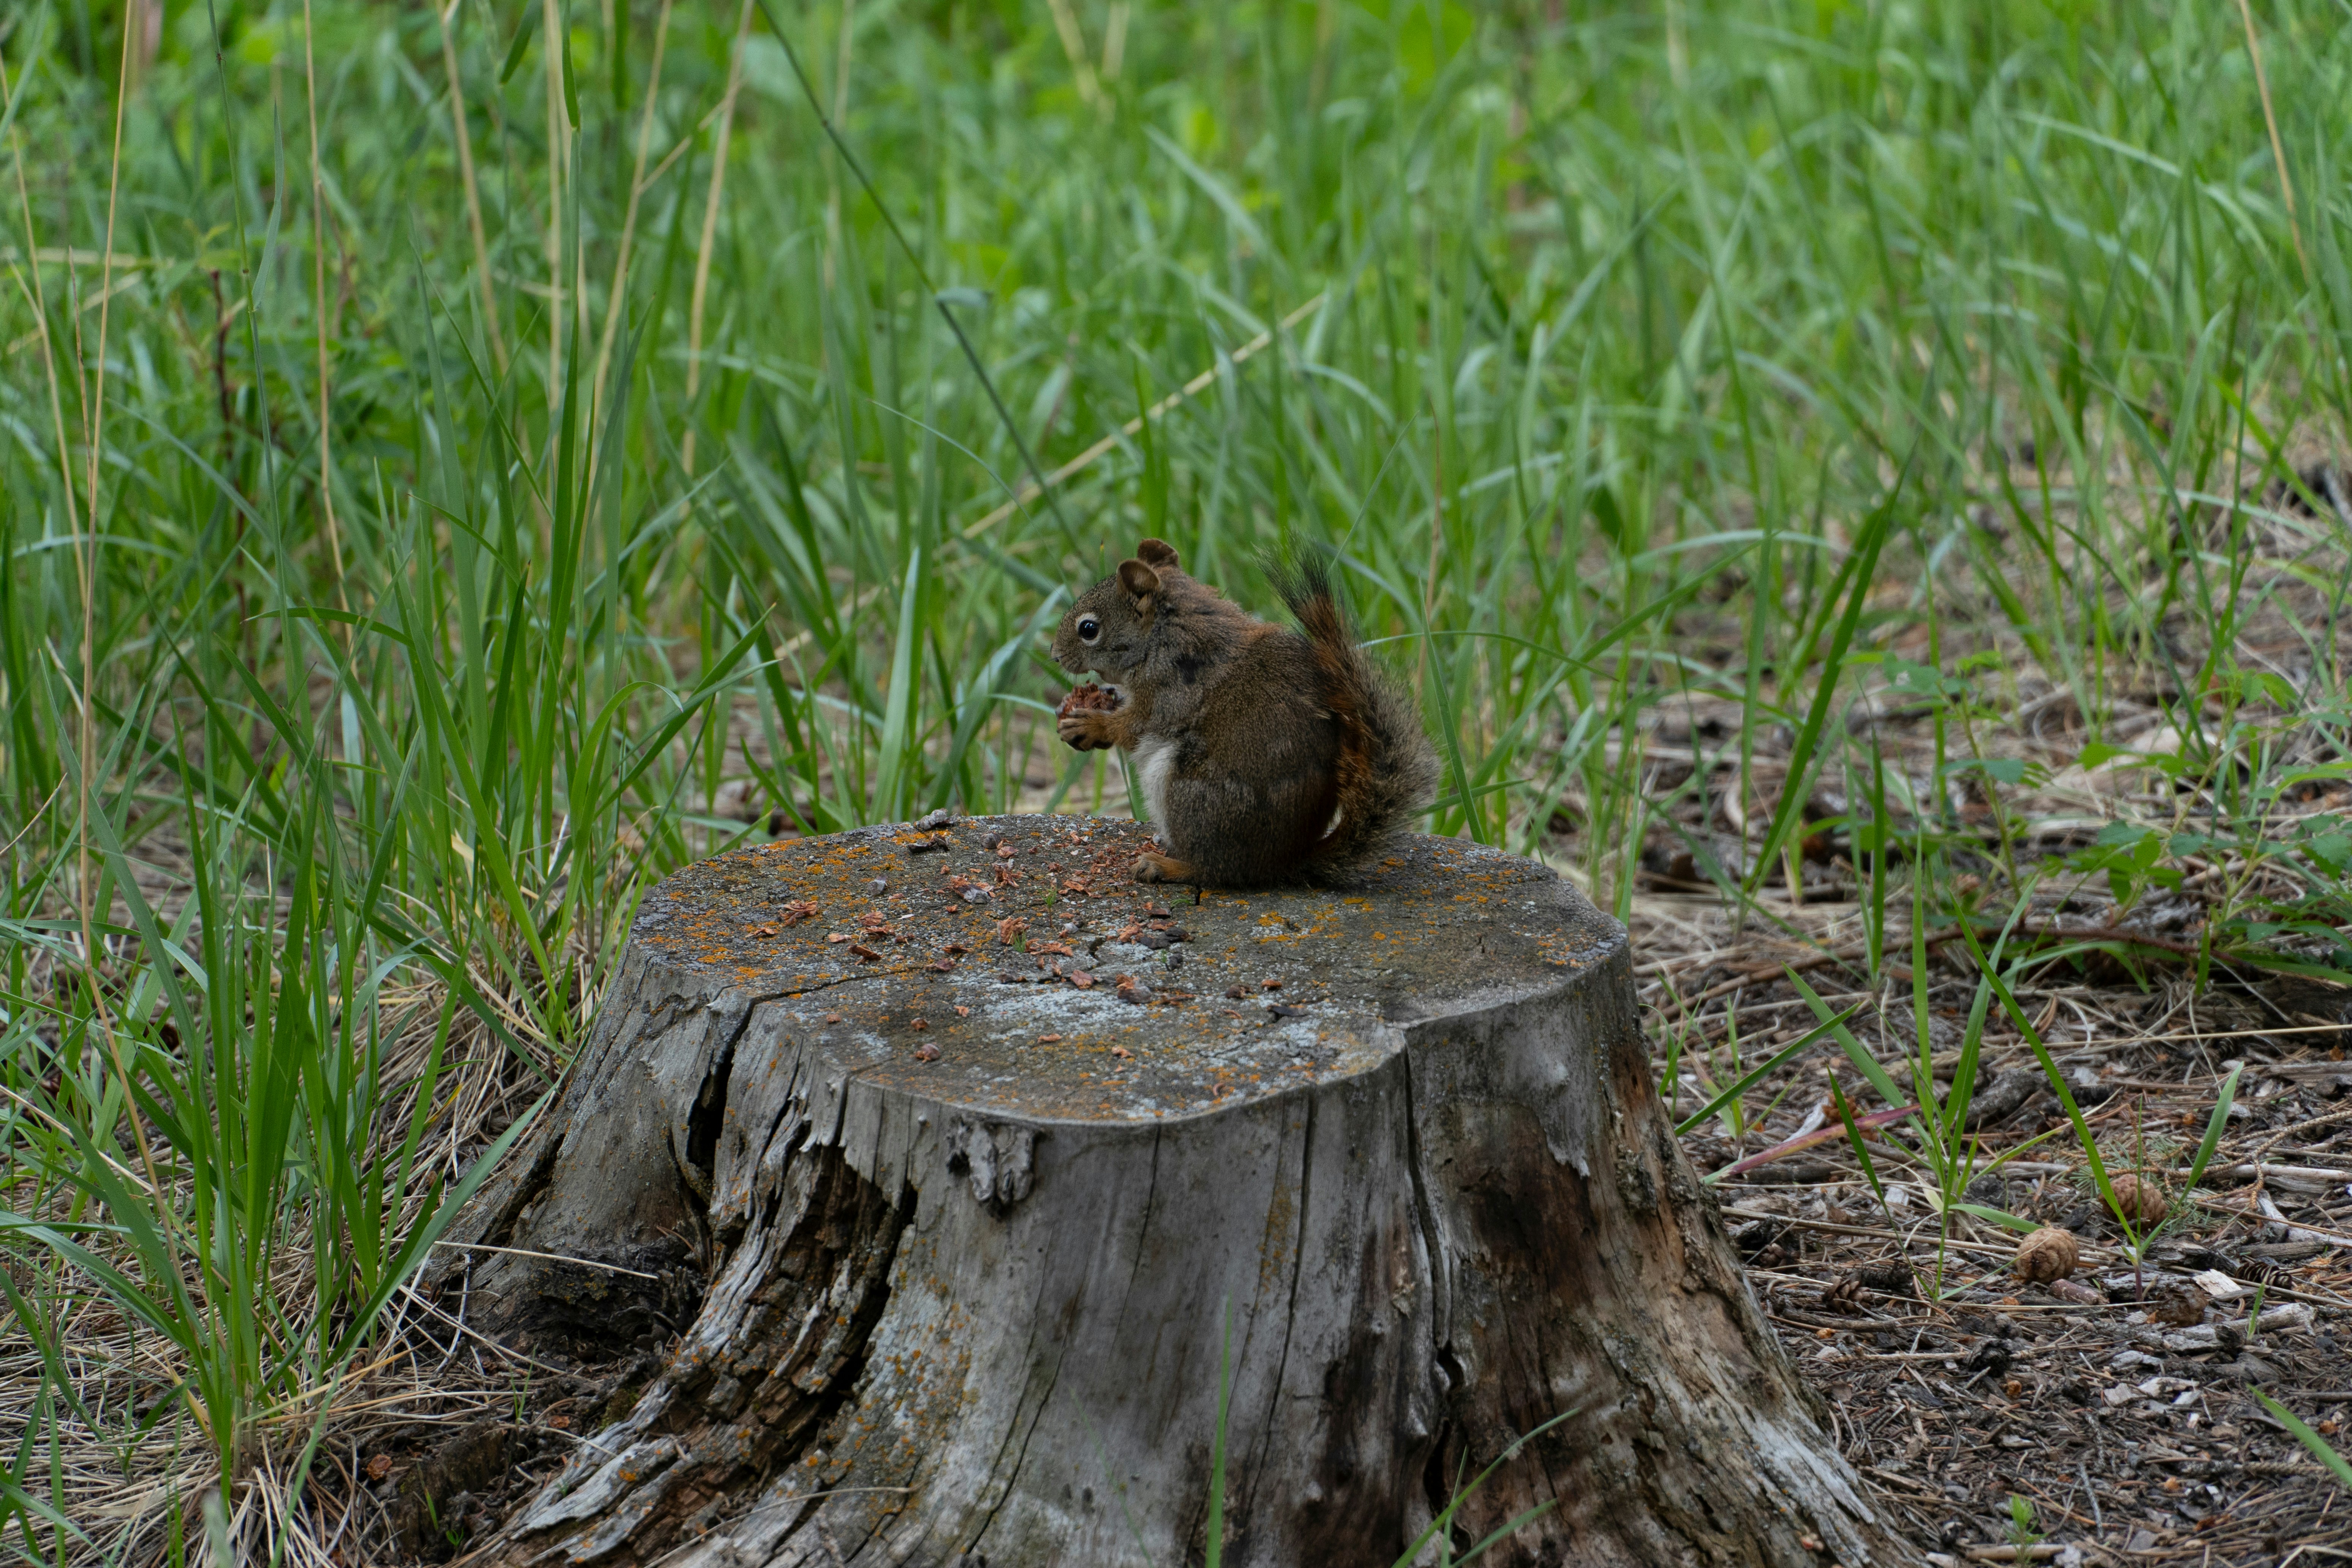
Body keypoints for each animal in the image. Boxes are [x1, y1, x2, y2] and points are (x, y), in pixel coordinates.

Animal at [1050, 538, 1436, 887]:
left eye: (1089, 629)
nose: (1053, 655)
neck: (1163, 634)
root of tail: (1281, 863)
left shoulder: (1170, 692)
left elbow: (1133, 727)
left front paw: (1090, 725)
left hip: (1191, 794)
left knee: (1218, 872)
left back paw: (1167, 866)